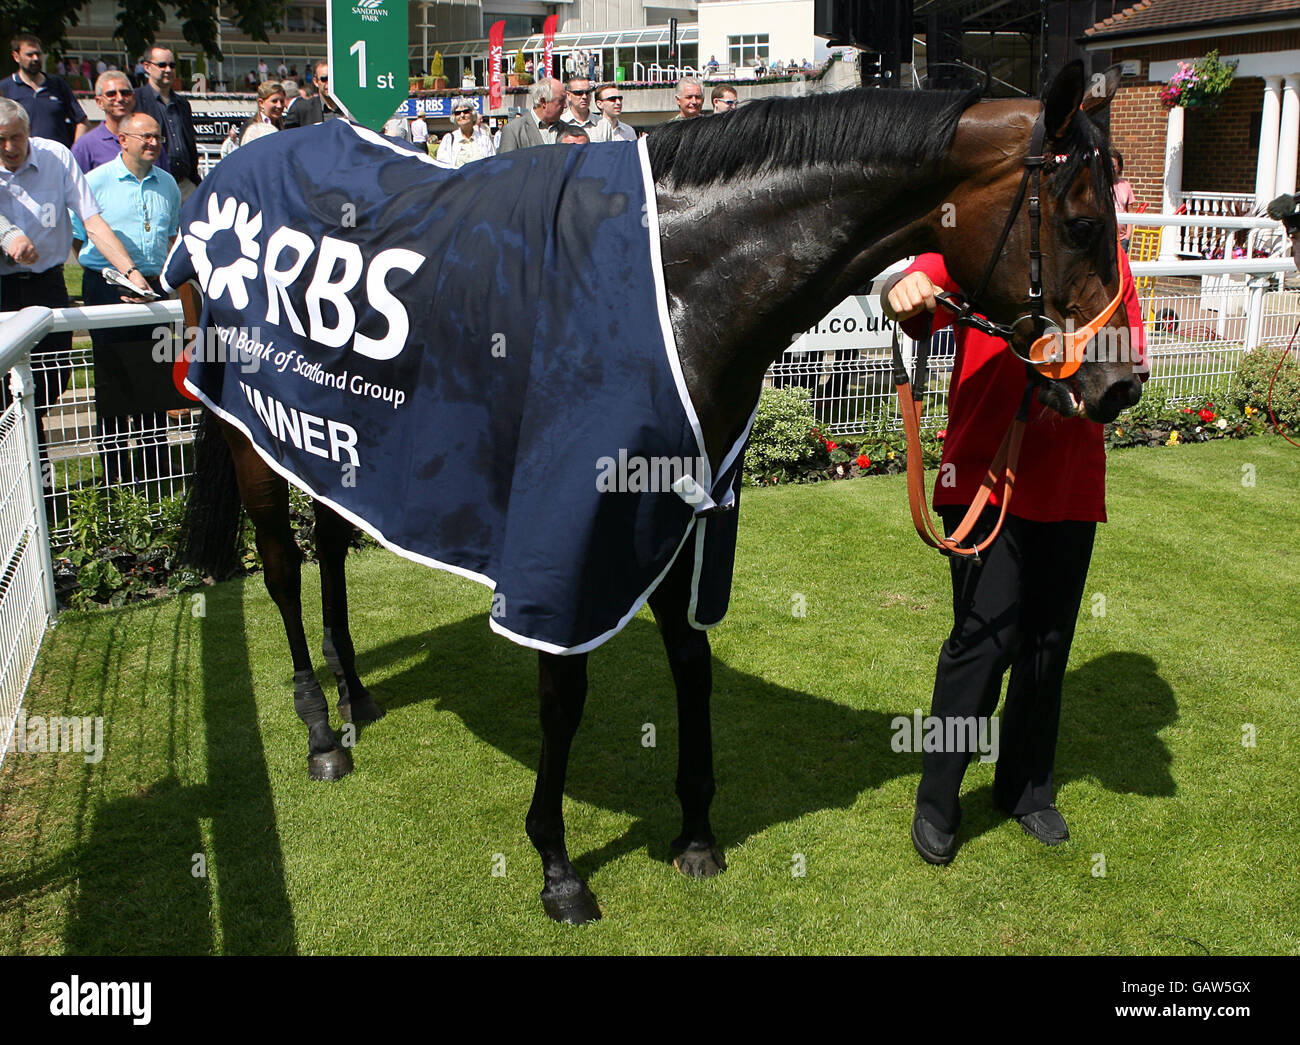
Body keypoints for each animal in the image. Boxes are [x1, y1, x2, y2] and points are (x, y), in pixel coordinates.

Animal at [181, 61, 1142, 925]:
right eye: (1083, 221)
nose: (1119, 384)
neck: (679, 284)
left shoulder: (690, 504)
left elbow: (691, 661)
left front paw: (696, 832)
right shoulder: (566, 530)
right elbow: (564, 693)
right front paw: (557, 865)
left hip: (337, 436)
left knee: (331, 544)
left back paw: (355, 694)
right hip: (251, 429)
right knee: (280, 566)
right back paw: (318, 728)